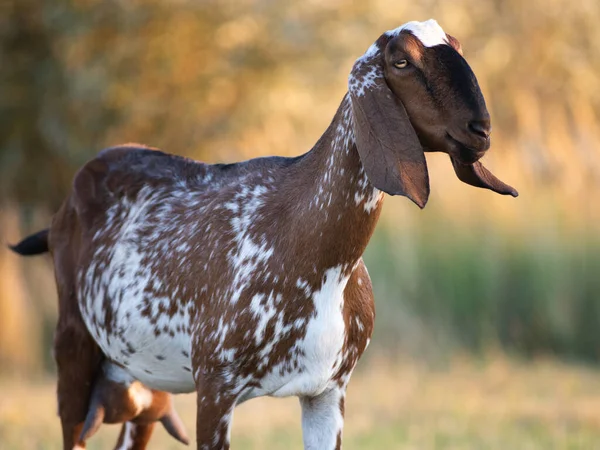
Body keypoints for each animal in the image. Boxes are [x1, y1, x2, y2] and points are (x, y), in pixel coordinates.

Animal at [10, 20, 516, 450]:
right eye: (402, 61)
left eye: (457, 46)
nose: (481, 130)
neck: (312, 251)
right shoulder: (215, 388)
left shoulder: (328, 392)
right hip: (72, 351)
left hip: (142, 390)